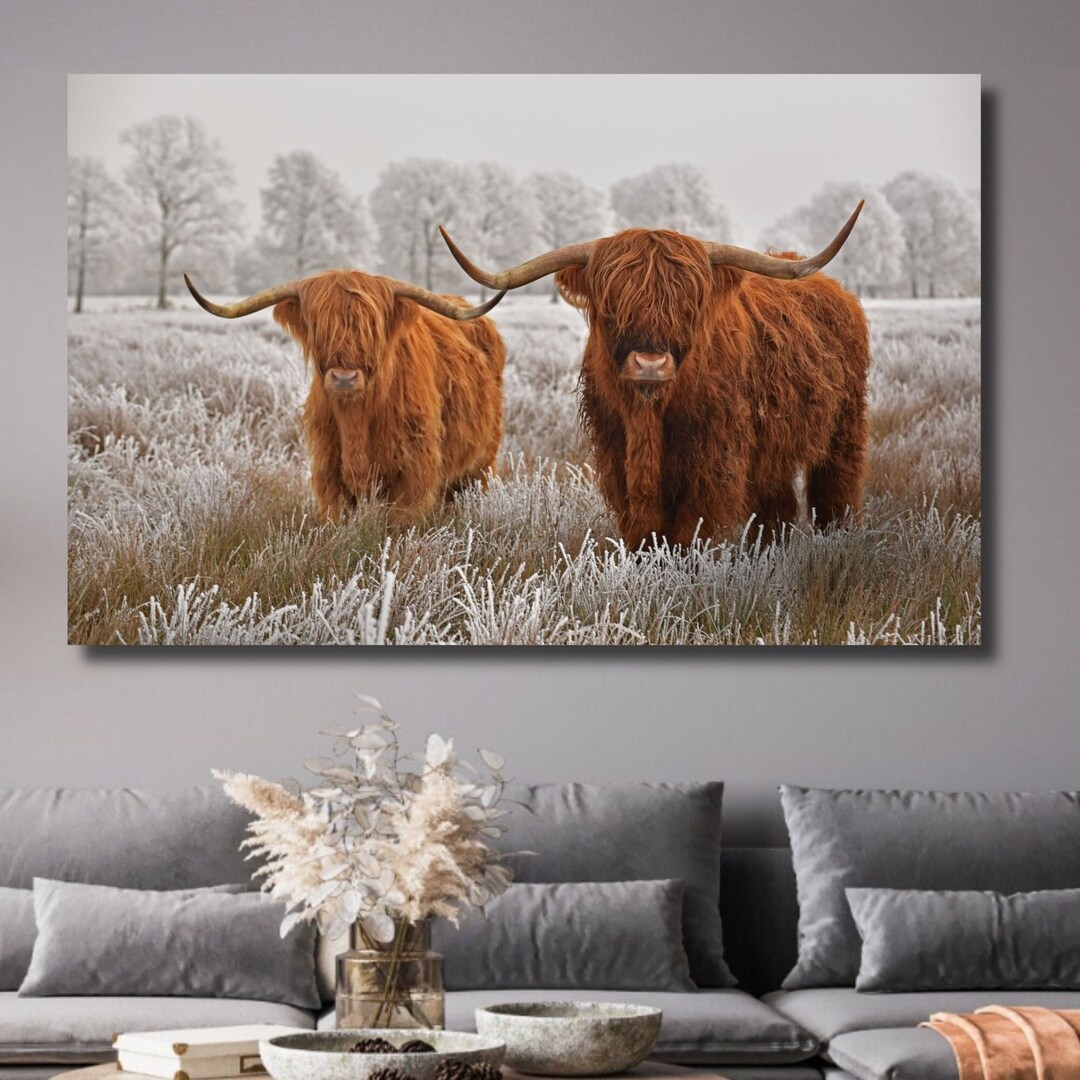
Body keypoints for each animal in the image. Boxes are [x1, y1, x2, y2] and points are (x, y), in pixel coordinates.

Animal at [184, 270, 507, 526]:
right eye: (318, 326)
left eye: (371, 328)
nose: (344, 378)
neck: (357, 418)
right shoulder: (329, 472)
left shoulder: (412, 474)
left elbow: (398, 526)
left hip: (481, 461)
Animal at [439, 204, 870, 549]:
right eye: (612, 304)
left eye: (688, 304)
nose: (650, 364)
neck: (648, 417)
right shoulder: (617, 460)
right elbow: (644, 534)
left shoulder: (713, 465)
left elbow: (690, 534)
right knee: (776, 507)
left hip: (844, 429)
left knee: (835, 493)